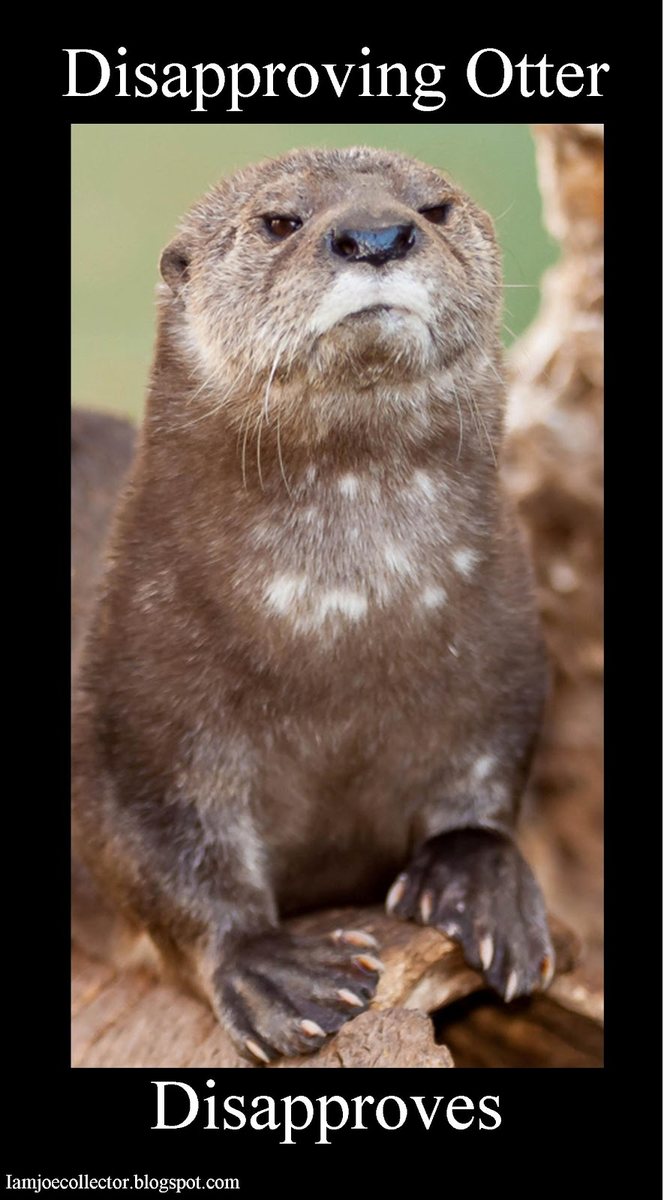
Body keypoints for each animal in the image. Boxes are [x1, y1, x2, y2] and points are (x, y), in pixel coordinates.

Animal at [72, 145, 554, 1064]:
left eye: (434, 208)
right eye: (279, 221)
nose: (376, 236)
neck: (341, 628)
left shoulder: (505, 647)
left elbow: (491, 775)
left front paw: (479, 884)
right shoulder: (134, 706)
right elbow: (161, 859)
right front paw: (269, 967)